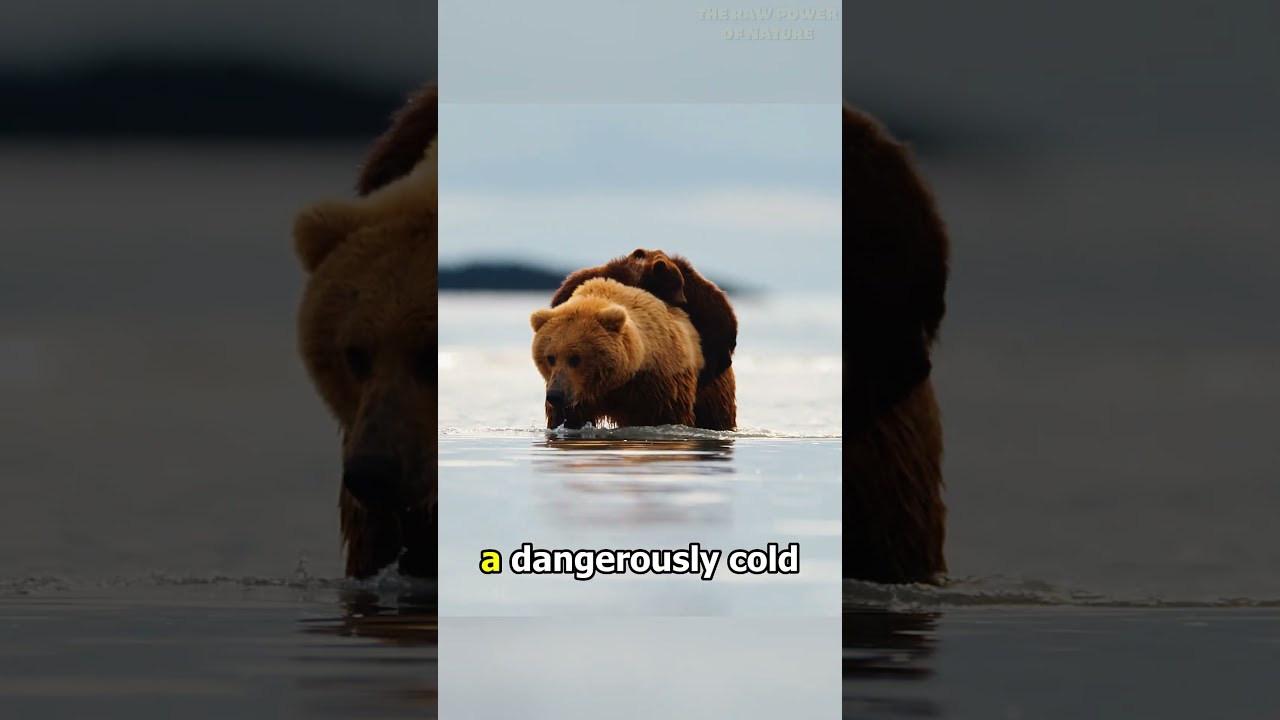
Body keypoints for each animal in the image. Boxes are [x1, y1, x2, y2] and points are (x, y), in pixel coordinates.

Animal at [531, 277, 704, 429]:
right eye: (550, 358)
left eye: (575, 358)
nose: (555, 395)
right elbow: (567, 420)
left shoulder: (660, 386)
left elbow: (667, 417)